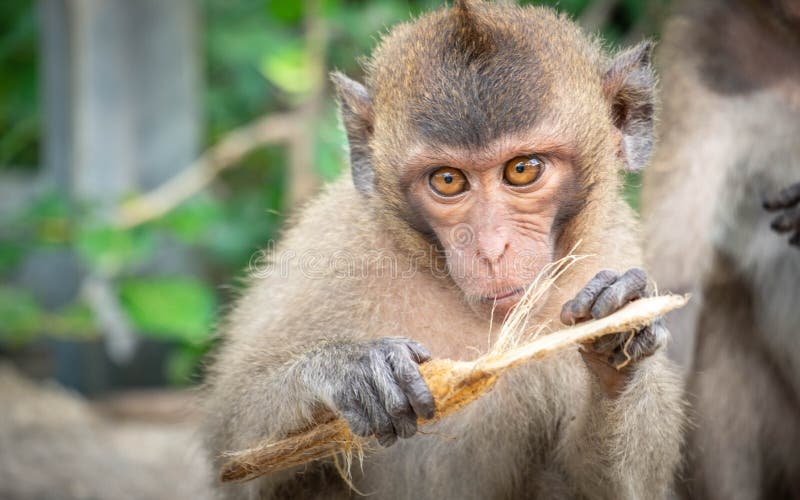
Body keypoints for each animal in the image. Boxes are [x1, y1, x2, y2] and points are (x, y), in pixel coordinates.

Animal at [203, 1, 685, 499]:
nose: (491, 249)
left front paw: (621, 338)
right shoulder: (330, 244)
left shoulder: (609, 249)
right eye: (448, 180)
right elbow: (234, 452)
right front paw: (347, 372)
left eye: (522, 170)